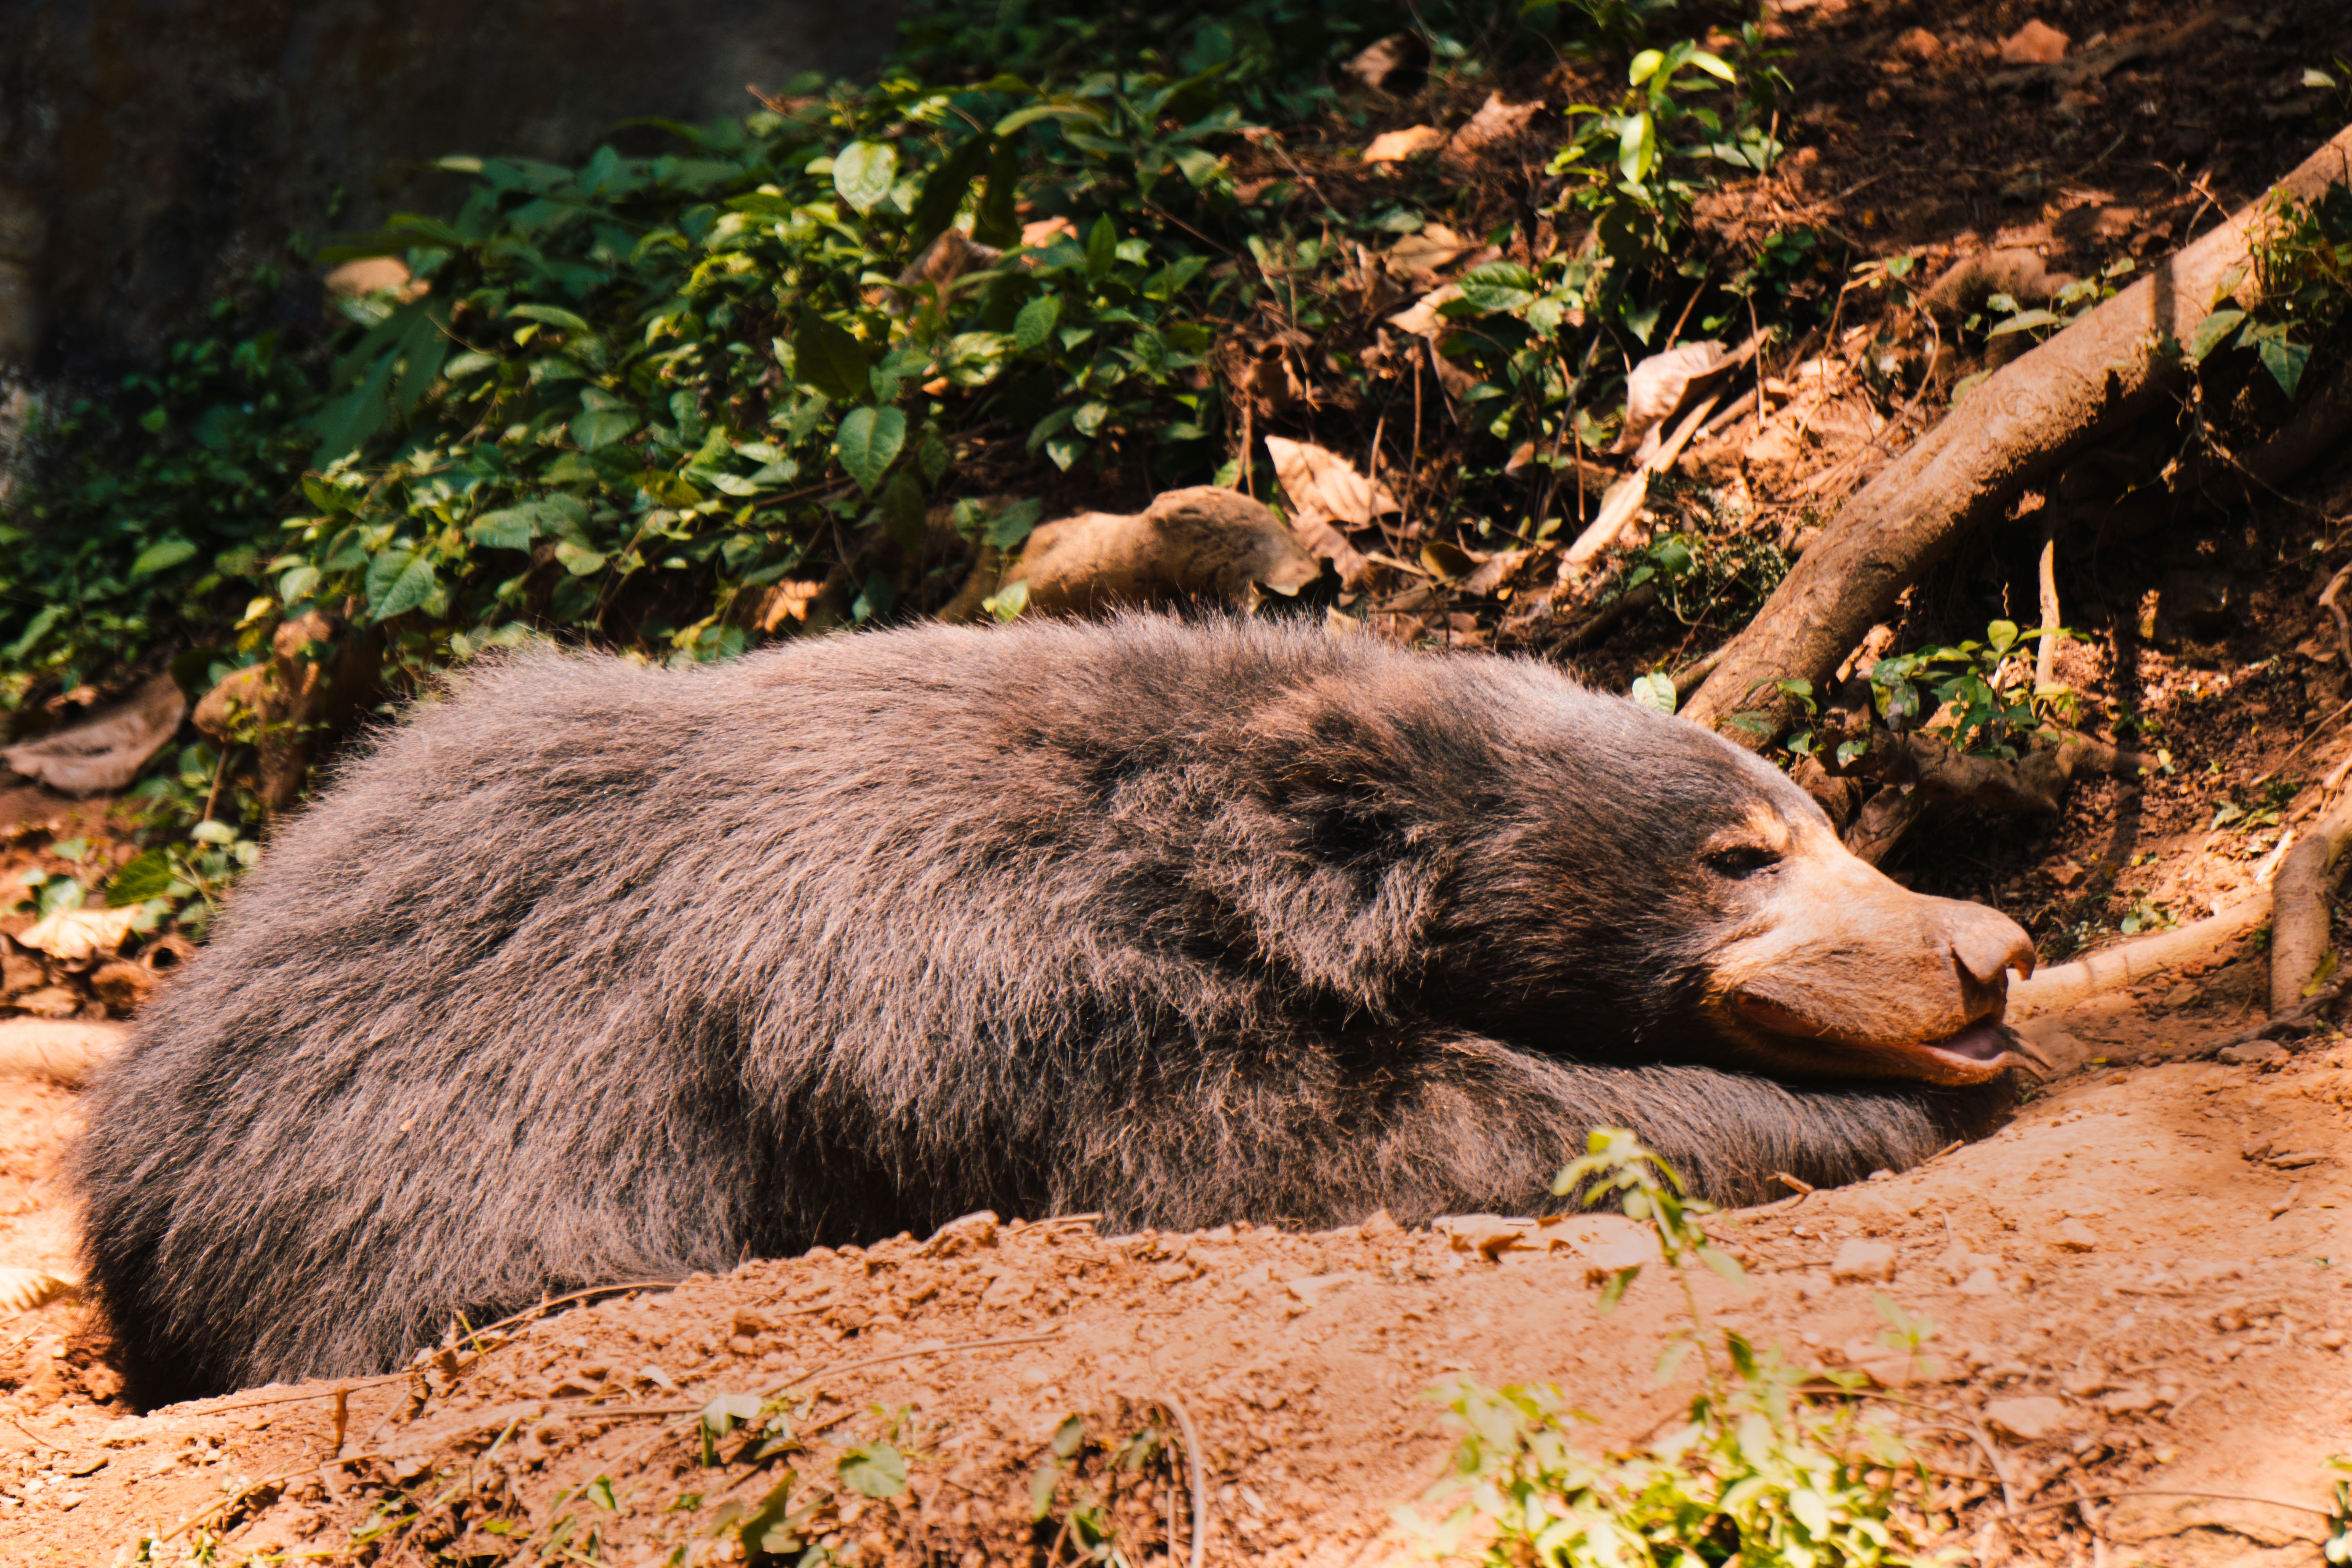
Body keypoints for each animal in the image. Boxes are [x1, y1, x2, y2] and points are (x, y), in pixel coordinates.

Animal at [76, 614, 2035, 1405]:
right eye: (1738, 854)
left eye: (1820, 814)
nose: (1988, 948)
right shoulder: (988, 993)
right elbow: (1333, 1139)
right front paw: (1873, 1109)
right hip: (397, 1167)